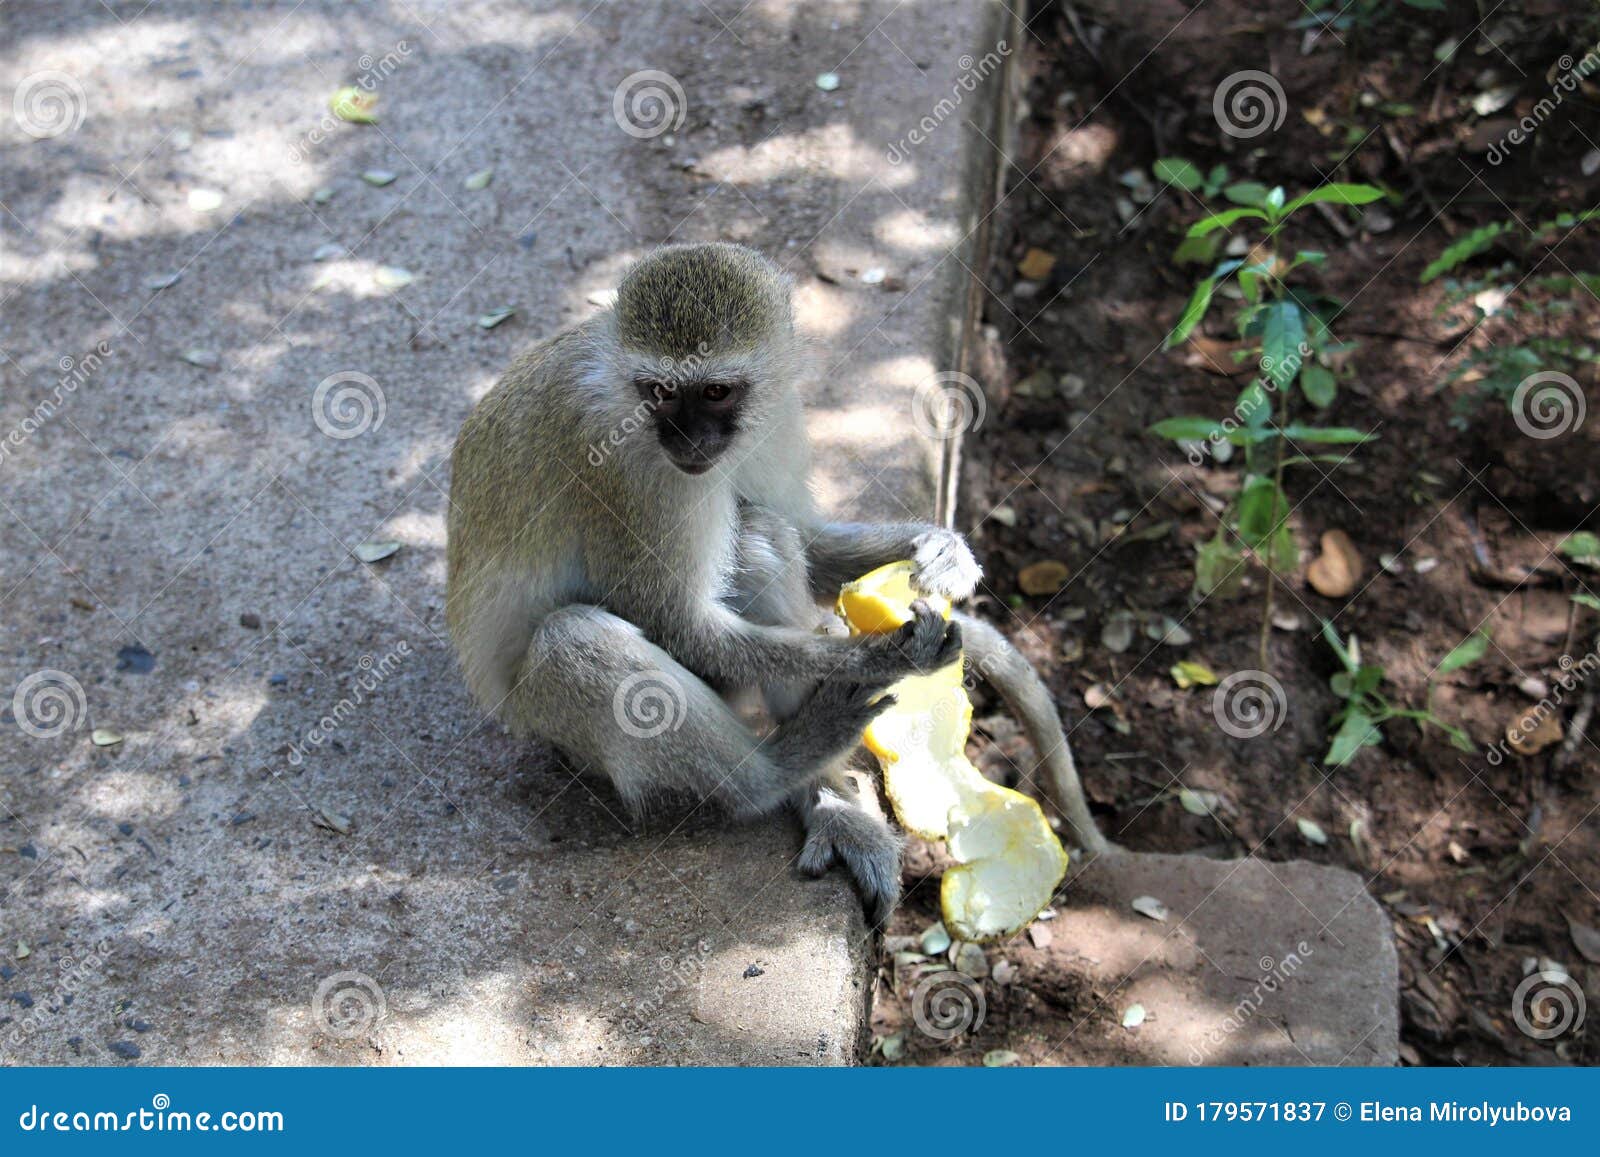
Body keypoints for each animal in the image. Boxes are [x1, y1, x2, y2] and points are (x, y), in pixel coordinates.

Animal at [445, 242, 1107, 929]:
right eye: (659, 393)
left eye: (715, 391)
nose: (687, 440)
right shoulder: (625, 466)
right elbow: (674, 621)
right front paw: (883, 657)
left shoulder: (777, 416)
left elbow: (804, 539)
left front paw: (940, 550)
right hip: (545, 722)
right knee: (575, 639)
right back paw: (782, 767)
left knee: (761, 533)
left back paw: (827, 795)